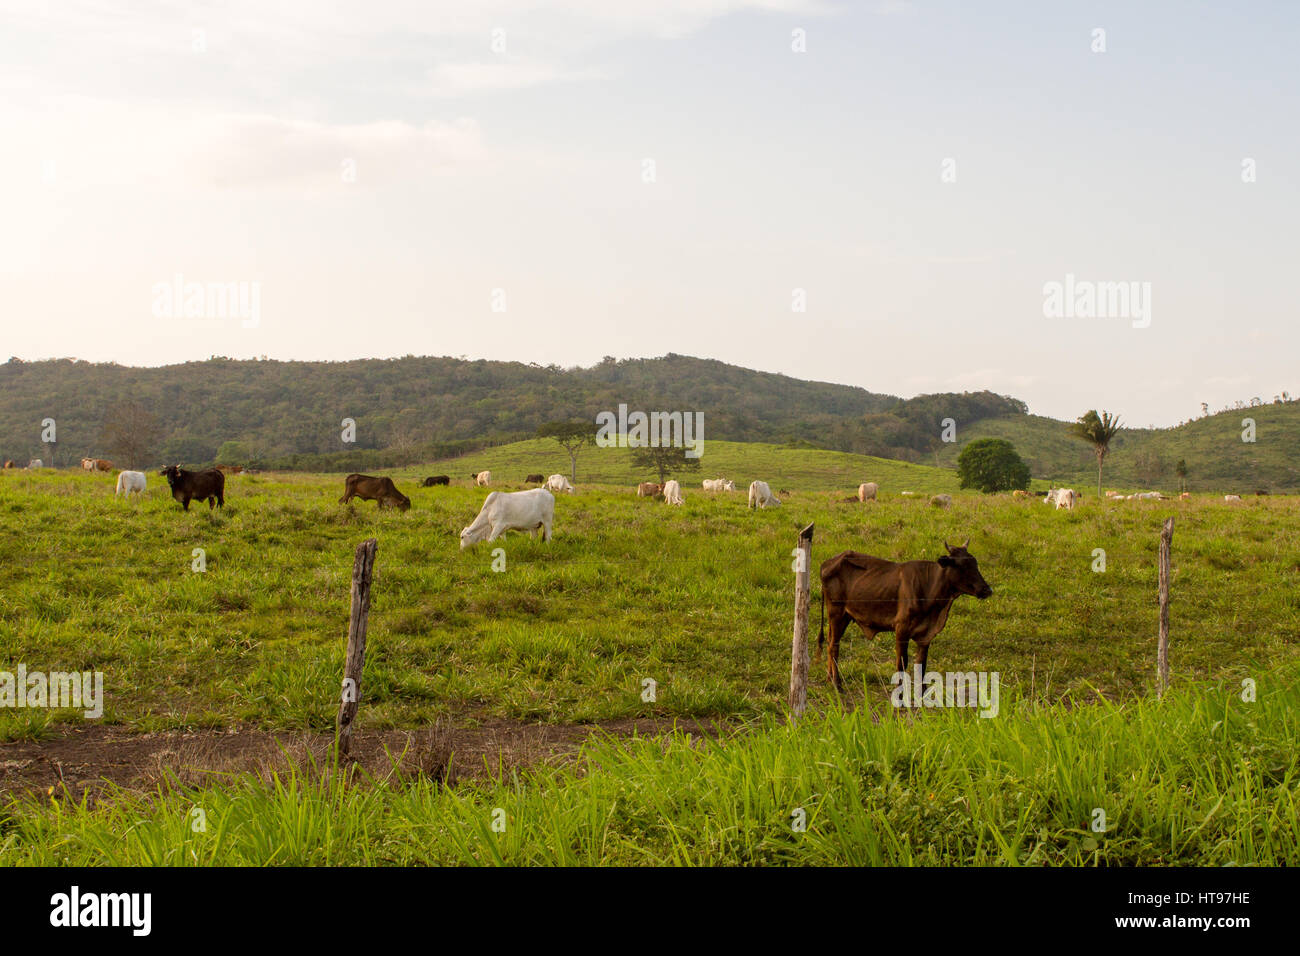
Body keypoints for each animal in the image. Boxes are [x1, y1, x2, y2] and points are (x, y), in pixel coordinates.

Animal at [818, 540, 993, 691]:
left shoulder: (926, 635)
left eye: (975, 563)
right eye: (962, 565)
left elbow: (921, 664)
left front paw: (923, 695)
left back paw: (829, 678)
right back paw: (837, 684)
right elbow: (901, 664)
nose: (987, 589)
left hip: (842, 616)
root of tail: (827, 563)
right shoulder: (901, 628)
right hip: (837, 613)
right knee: (833, 646)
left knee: (830, 643)